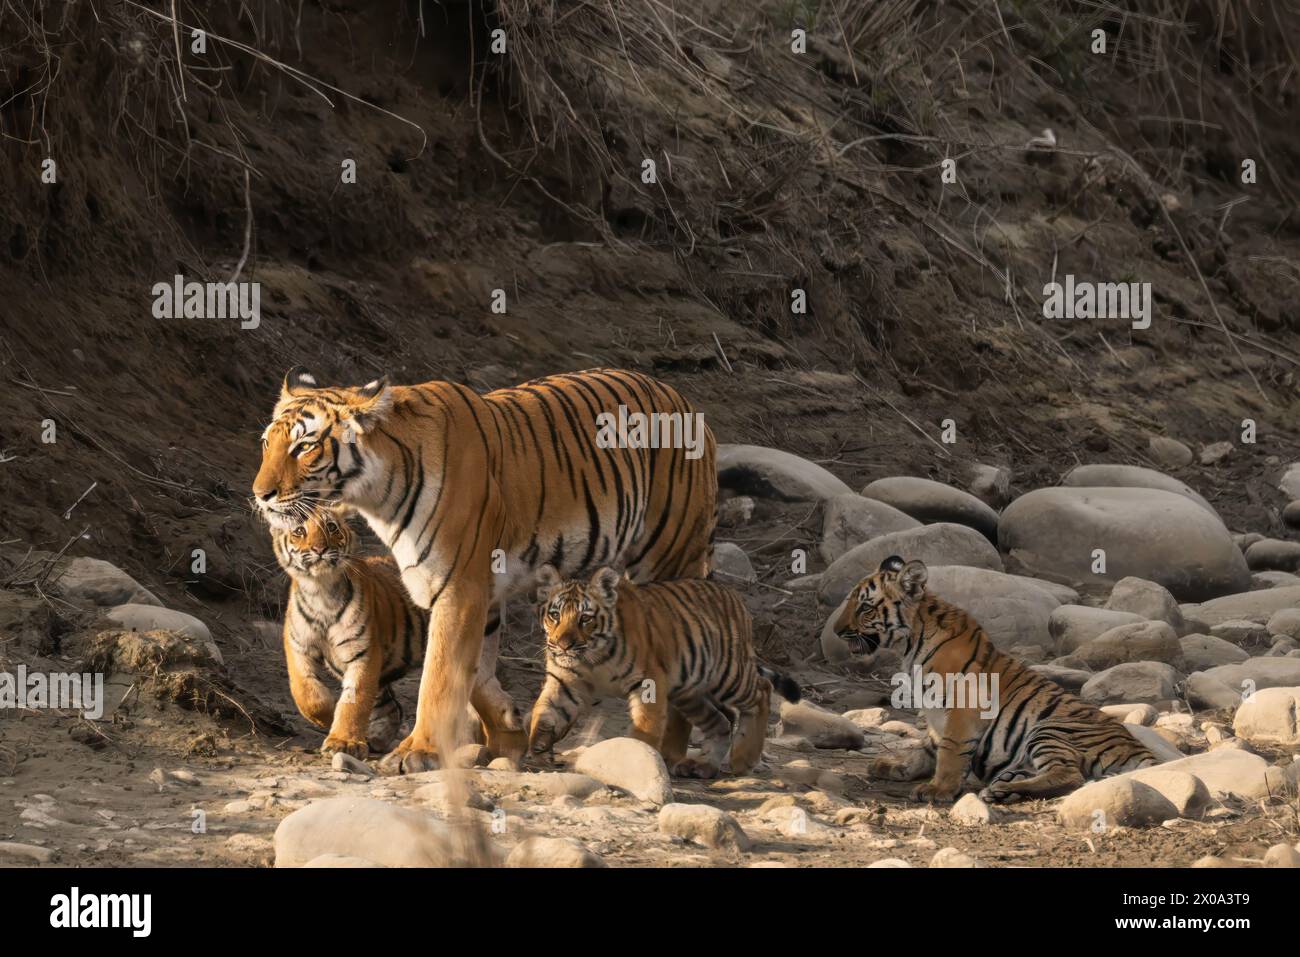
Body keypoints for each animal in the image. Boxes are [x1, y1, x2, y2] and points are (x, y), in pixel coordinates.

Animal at [271, 505, 424, 758]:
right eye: (299, 531)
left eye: (331, 527)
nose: (319, 549)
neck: (320, 591)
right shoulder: (298, 646)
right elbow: (307, 693)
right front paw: (328, 717)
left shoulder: (363, 653)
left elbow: (355, 700)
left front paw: (343, 742)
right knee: (392, 707)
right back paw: (377, 738)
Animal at [528, 565, 801, 778]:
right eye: (555, 615)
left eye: (585, 618)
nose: (563, 644)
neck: (592, 659)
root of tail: (734, 594)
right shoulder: (564, 682)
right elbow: (545, 711)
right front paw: (538, 746)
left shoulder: (648, 682)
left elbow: (645, 727)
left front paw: (635, 760)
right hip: (689, 692)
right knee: (721, 721)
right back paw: (703, 765)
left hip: (727, 674)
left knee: (762, 690)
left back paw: (744, 759)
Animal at [831, 555, 1157, 804]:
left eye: (865, 607)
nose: (835, 631)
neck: (910, 644)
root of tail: (1143, 751)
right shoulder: (935, 714)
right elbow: (927, 746)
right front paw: (893, 767)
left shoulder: (963, 708)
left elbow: (949, 750)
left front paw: (938, 789)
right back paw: (1003, 789)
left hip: (1052, 728)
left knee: (1070, 774)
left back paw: (1002, 791)